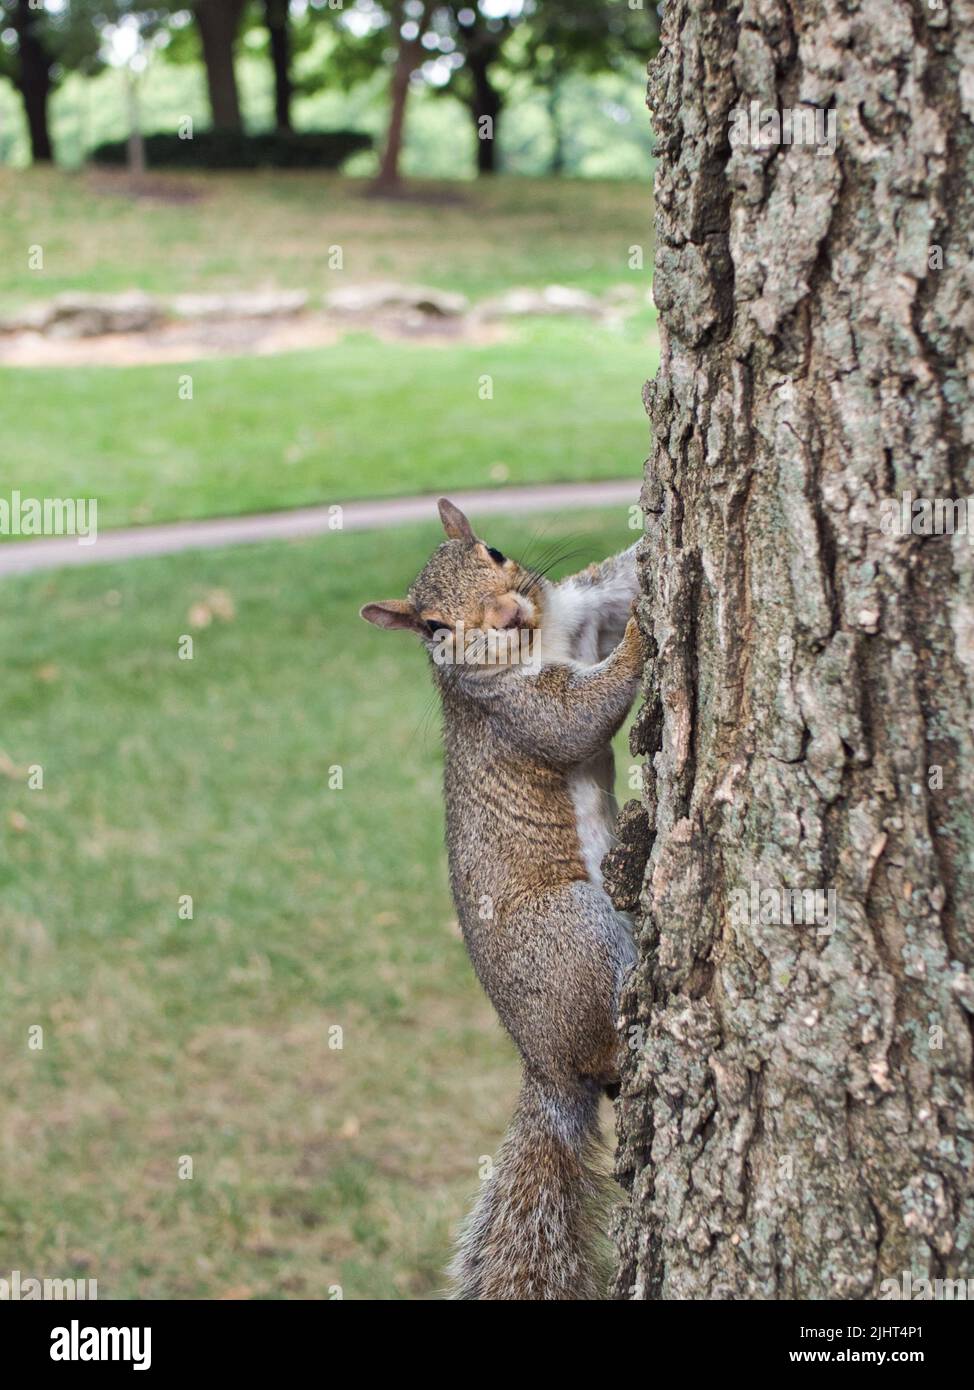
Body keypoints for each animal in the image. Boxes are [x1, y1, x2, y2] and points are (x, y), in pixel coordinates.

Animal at [361, 498, 643, 1300]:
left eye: (493, 550)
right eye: (433, 627)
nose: (508, 611)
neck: (540, 638)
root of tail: (544, 1068)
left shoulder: (578, 609)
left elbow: (615, 581)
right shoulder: (518, 711)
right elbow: (578, 717)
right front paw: (644, 642)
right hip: (575, 930)